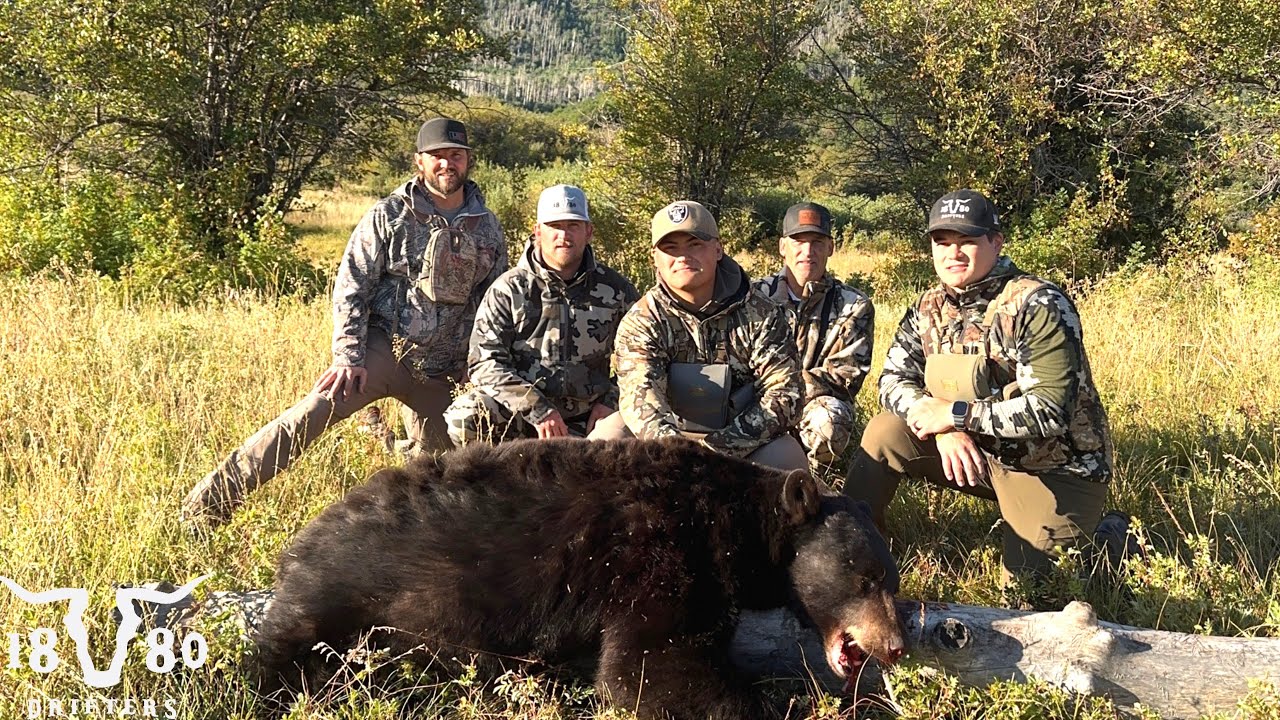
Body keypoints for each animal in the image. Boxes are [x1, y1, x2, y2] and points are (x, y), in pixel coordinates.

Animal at [254, 436, 905, 719]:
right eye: (864, 579)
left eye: (890, 580)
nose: (896, 645)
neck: (730, 518)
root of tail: (295, 550)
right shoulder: (660, 552)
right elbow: (651, 667)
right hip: (341, 602)